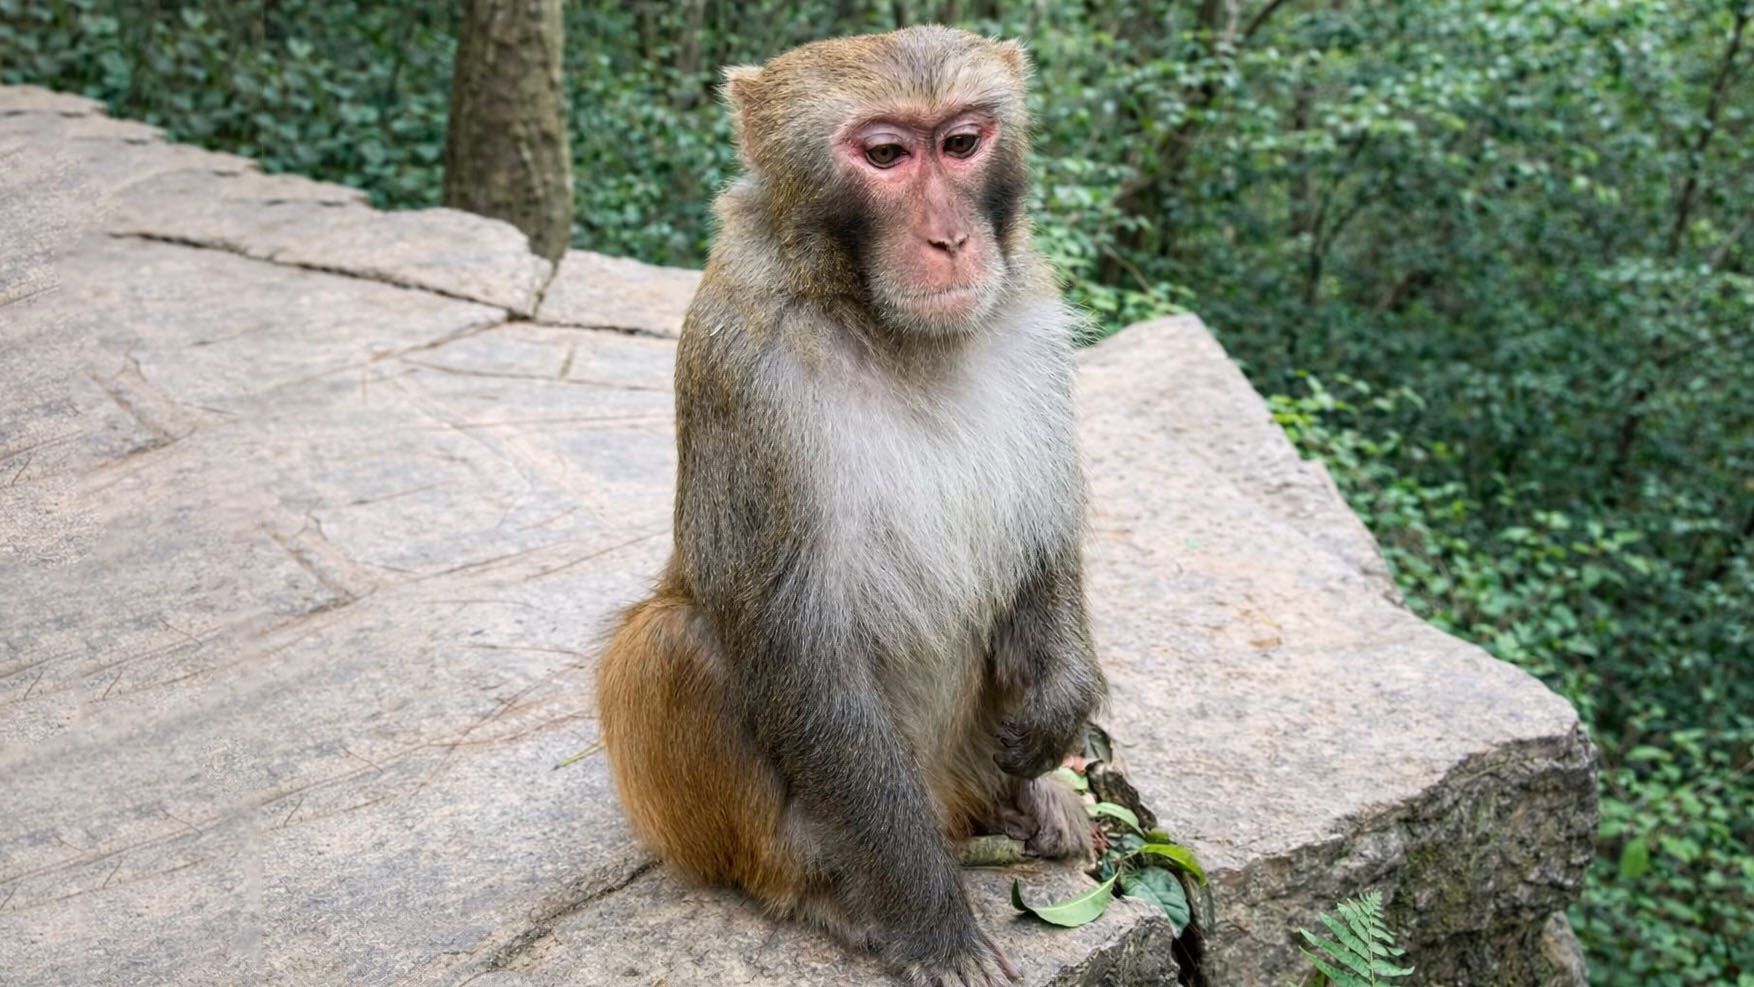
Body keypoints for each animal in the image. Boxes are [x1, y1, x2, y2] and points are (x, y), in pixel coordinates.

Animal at [595, 26, 1107, 987]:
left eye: (961, 142)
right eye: (885, 156)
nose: (950, 239)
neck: (878, 319)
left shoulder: (1032, 315)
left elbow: (1040, 546)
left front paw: (1065, 704)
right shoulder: (744, 370)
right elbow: (799, 650)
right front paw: (935, 926)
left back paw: (1025, 799)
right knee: (671, 641)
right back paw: (823, 890)